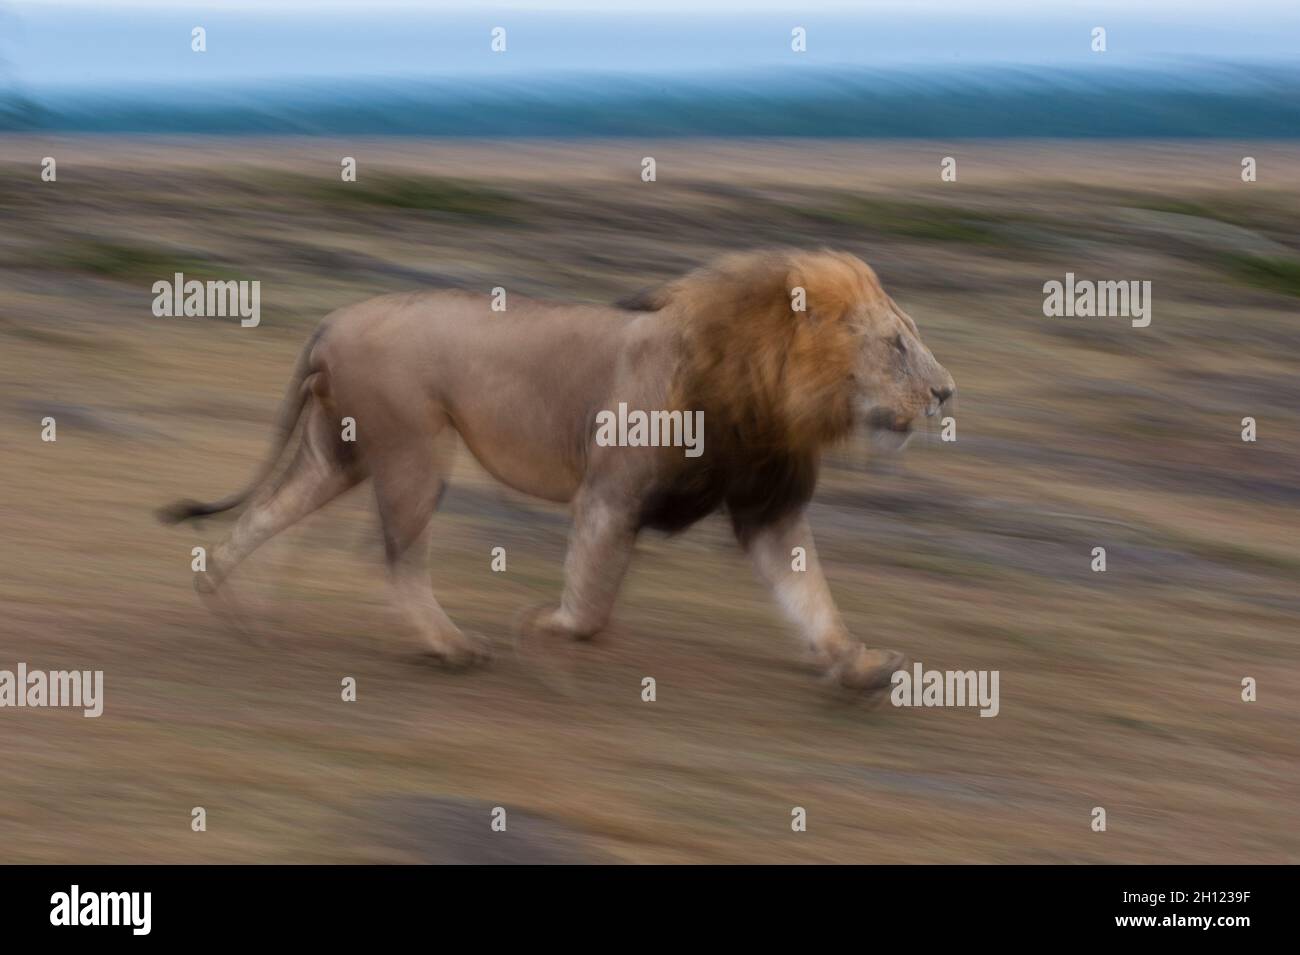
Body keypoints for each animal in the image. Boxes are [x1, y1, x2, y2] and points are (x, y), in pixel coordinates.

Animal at [160, 249, 955, 691]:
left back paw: (235, 604)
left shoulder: (767, 506)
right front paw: (542, 628)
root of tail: (331, 321)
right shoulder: (612, 492)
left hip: (342, 452)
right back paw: (451, 647)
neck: (771, 392)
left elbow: (812, 595)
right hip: (414, 446)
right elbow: (592, 602)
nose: (948, 393)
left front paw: (859, 666)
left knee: (272, 512)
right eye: (895, 345)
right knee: (392, 555)